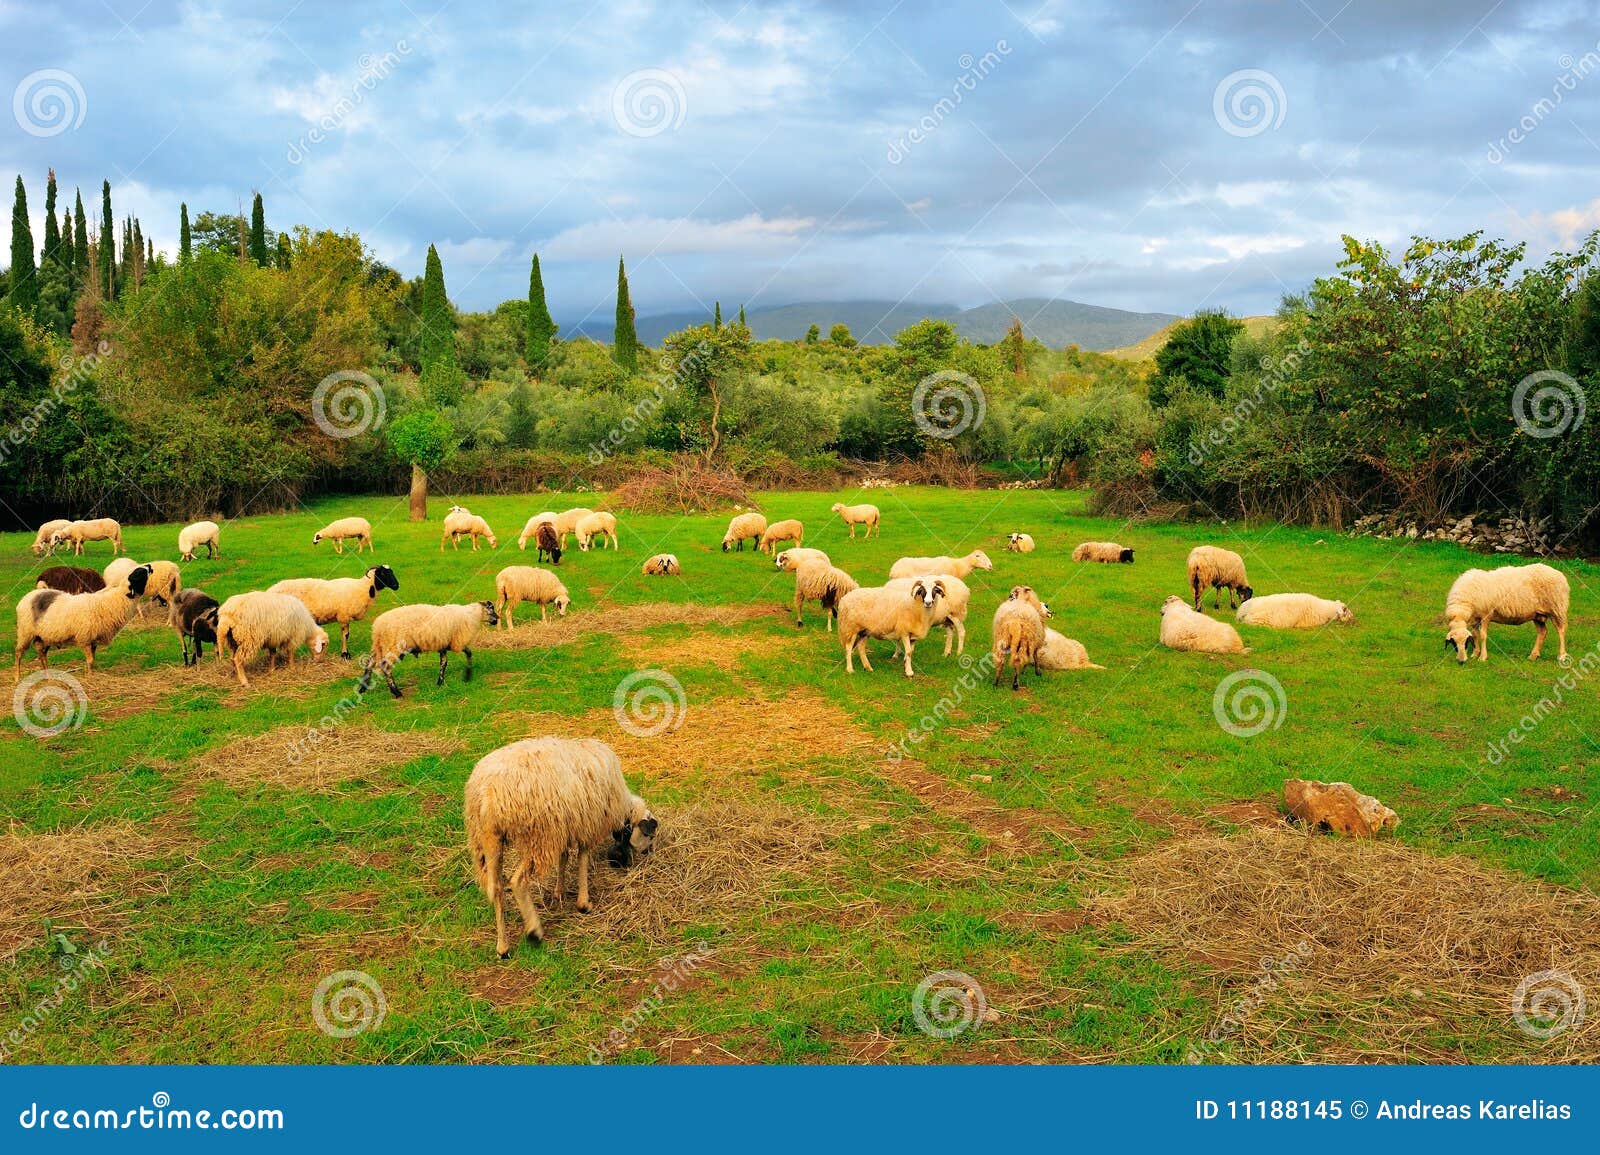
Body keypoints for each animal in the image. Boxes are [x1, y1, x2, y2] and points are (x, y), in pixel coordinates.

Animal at [14, 565, 149, 676]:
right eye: (139, 576)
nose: (148, 566)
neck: (111, 601)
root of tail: (32, 594)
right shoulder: (85, 638)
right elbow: (89, 660)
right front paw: (90, 676)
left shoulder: (93, 639)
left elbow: (93, 660)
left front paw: (92, 674)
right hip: (25, 631)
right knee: (19, 653)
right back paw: (17, 677)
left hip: (44, 635)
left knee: (41, 653)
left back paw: (47, 675)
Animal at [267, 564, 401, 658]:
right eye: (383, 573)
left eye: (392, 572)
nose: (396, 586)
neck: (363, 588)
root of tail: (270, 590)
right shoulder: (343, 616)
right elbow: (345, 635)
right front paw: (345, 654)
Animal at [359, 600, 500, 698]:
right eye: (491, 608)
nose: (497, 619)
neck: (472, 615)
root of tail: (377, 627)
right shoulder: (457, 641)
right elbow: (469, 653)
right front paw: (467, 676)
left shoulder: (443, 645)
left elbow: (443, 663)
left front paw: (440, 682)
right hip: (393, 645)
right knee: (386, 668)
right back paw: (396, 692)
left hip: (379, 646)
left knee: (369, 664)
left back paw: (363, 688)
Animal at [463, 736, 656, 955]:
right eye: (650, 836)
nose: (648, 853)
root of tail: (486, 793)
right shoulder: (587, 825)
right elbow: (582, 857)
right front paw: (583, 903)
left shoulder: (565, 826)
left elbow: (564, 856)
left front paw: (559, 891)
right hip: (535, 838)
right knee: (518, 882)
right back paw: (534, 931)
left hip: (488, 839)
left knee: (495, 888)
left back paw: (502, 947)